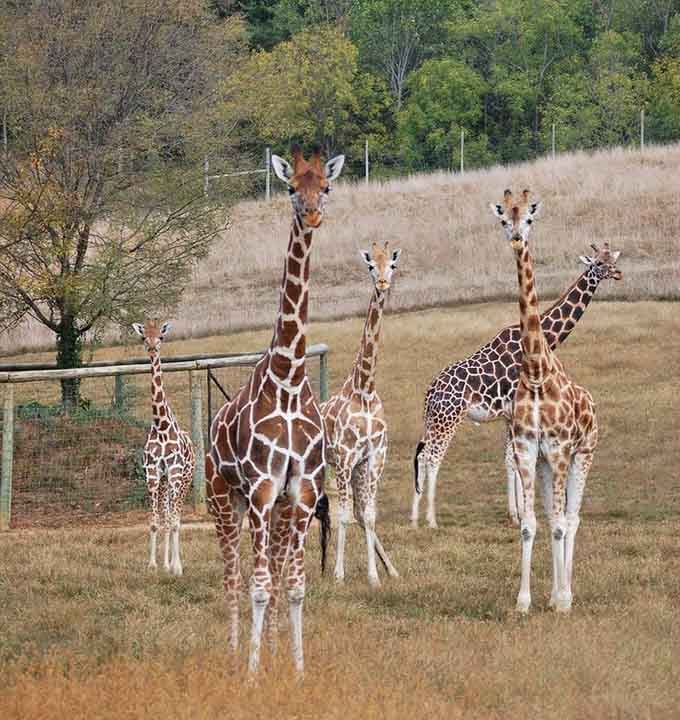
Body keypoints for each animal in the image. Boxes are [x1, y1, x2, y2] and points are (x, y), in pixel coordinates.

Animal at [205, 145, 344, 674]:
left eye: (325, 185)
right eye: (289, 187)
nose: (312, 213)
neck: (288, 376)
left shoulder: (300, 493)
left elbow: (296, 585)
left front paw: (297, 669)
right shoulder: (262, 490)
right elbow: (259, 585)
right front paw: (252, 673)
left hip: (277, 509)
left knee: (275, 570)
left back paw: (274, 647)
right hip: (224, 499)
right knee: (232, 572)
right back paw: (232, 652)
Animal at [411, 242, 620, 529]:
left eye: (613, 260)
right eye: (598, 263)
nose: (618, 273)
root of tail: (429, 393)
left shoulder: (511, 415)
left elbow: (510, 459)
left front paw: (515, 513)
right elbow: (517, 459)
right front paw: (521, 514)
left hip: (434, 420)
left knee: (422, 455)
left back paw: (414, 518)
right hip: (449, 418)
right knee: (433, 457)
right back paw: (431, 520)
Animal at [491, 189, 598, 613]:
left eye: (530, 219)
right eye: (505, 219)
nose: (517, 238)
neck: (536, 371)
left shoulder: (560, 449)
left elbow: (560, 523)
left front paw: (562, 599)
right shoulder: (527, 450)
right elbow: (530, 525)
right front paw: (524, 601)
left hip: (582, 454)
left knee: (572, 518)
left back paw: (565, 592)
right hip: (545, 465)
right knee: (556, 519)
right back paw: (554, 592)